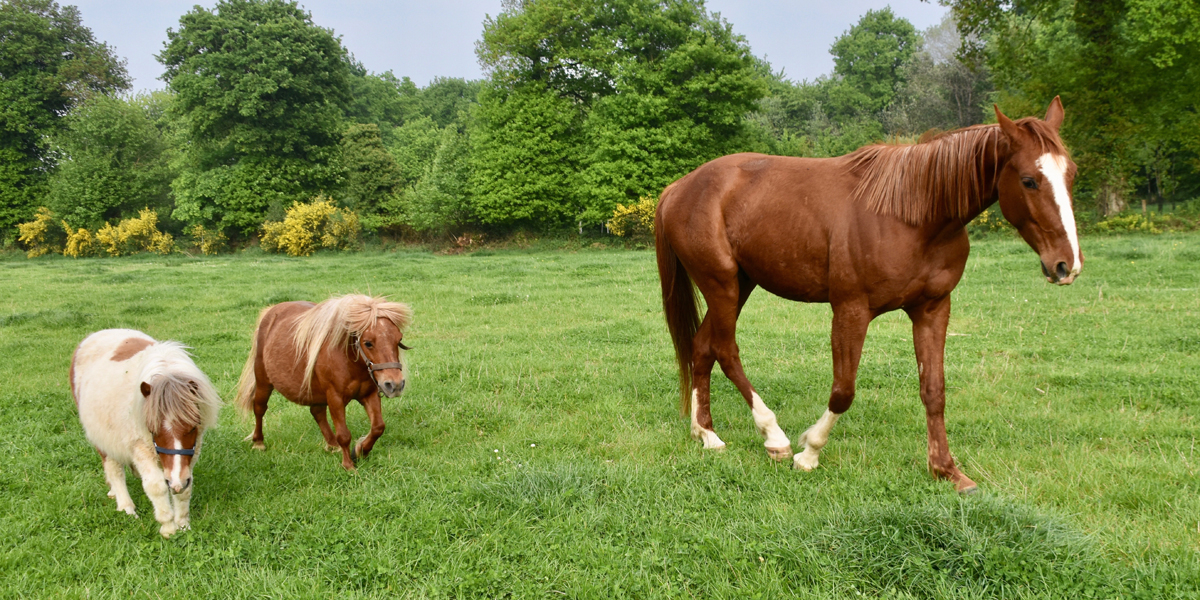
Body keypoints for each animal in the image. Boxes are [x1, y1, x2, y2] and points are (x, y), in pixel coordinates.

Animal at [70, 331, 222, 537]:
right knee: (114, 470)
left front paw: (183, 525)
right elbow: (156, 487)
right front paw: (168, 527)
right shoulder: (140, 449)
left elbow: (185, 489)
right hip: (103, 439)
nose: (175, 482)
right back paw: (125, 506)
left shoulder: (192, 452)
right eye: (153, 429)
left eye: (192, 427)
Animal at [236, 294, 415, 468]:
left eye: (398, 340)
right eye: (368, 343)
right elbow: (344, 434)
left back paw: (332, 444)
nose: (395, 385)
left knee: (317, 412)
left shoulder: (369, 394)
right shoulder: (335, 398)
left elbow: (378, 427)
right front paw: (348, 465)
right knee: (259, 408)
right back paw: (258, 442)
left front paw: (360, 451)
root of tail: (271, 312)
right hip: (263, 381)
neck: (350, 361)